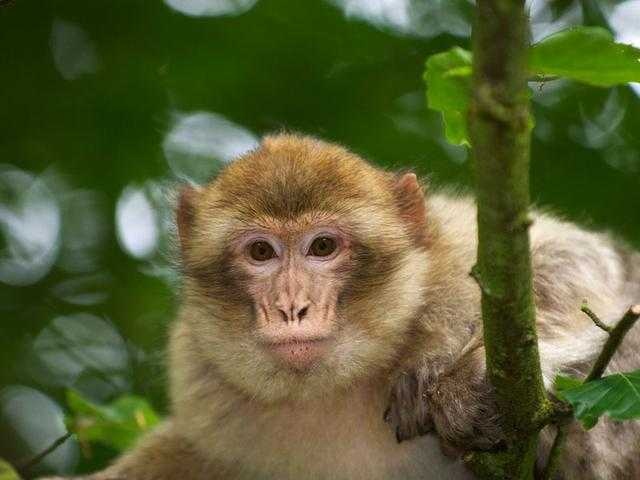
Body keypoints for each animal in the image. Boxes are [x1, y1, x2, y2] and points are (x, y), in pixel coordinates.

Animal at [43, 134, 640, 480]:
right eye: (261, 252)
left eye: (323, 246)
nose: (291, 307)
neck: (332, 391)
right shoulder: (207, 404)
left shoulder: (454, 248)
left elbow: (581, 261)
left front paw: (456, 373)